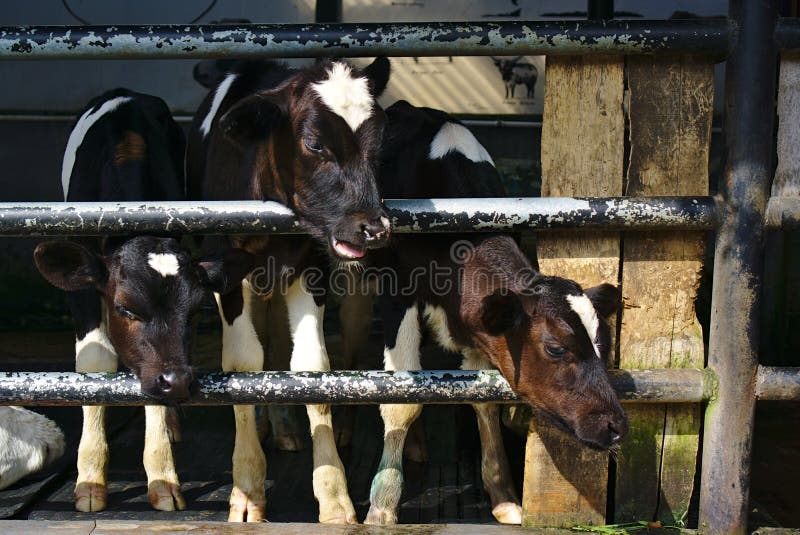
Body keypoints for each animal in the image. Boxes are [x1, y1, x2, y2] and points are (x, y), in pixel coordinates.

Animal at [33, 89, 253, 513]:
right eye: (125, 308)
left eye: (196, 309)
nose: (178, 381)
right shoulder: (84, 286)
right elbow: (95, 363)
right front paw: (90, 478)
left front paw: (163, 476)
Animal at [186, 57, 391, 523]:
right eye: (315, 145)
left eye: (379, 143)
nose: (374, 227)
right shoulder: (225, 269)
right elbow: (243, 363)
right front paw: (246, 489)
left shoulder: (311, 267)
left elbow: (311, 367)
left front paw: (334, 496)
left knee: (284, 341)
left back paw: (285, 427)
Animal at [342, 101, 628, 525]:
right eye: (556, 348)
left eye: (603, 344)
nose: (616, 425)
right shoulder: (397, 298)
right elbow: (400, 398)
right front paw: (383, 503)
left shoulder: (482, 333)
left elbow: (483, 398)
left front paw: (504, 495)